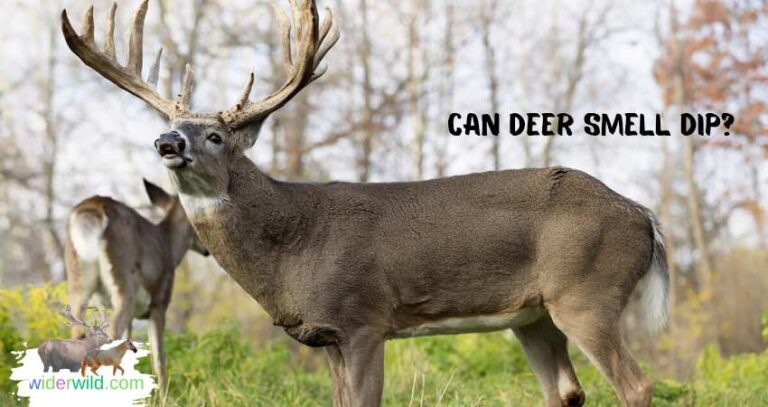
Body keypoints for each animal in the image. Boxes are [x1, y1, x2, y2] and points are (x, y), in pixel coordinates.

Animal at [64, 178, 208, 392]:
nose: (207, 249)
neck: (170, 248)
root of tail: (93, 208)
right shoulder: (158, 302)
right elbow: (159, 360)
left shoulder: (131, 314)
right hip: (124, 282)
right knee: (110, 335)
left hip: (78, 281)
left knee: (76, 335)